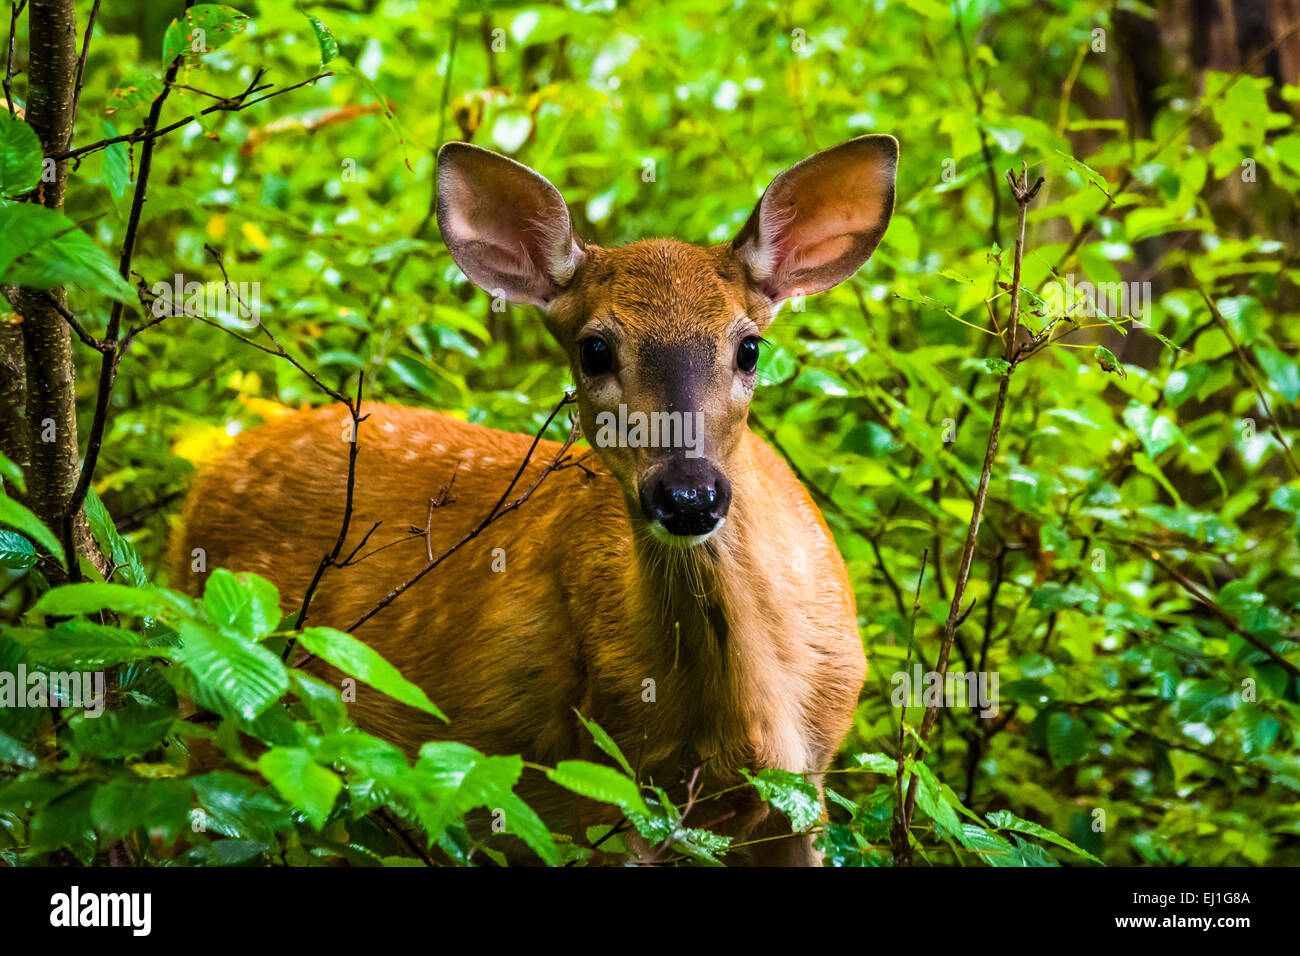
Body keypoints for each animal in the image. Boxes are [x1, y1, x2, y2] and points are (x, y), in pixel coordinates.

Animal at [170, 133, 897, 865]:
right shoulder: (602, 785)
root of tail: (212, 469)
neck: (747, 715)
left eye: (749, 347)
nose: (688, 495)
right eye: (595, 349)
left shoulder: (805, 787)